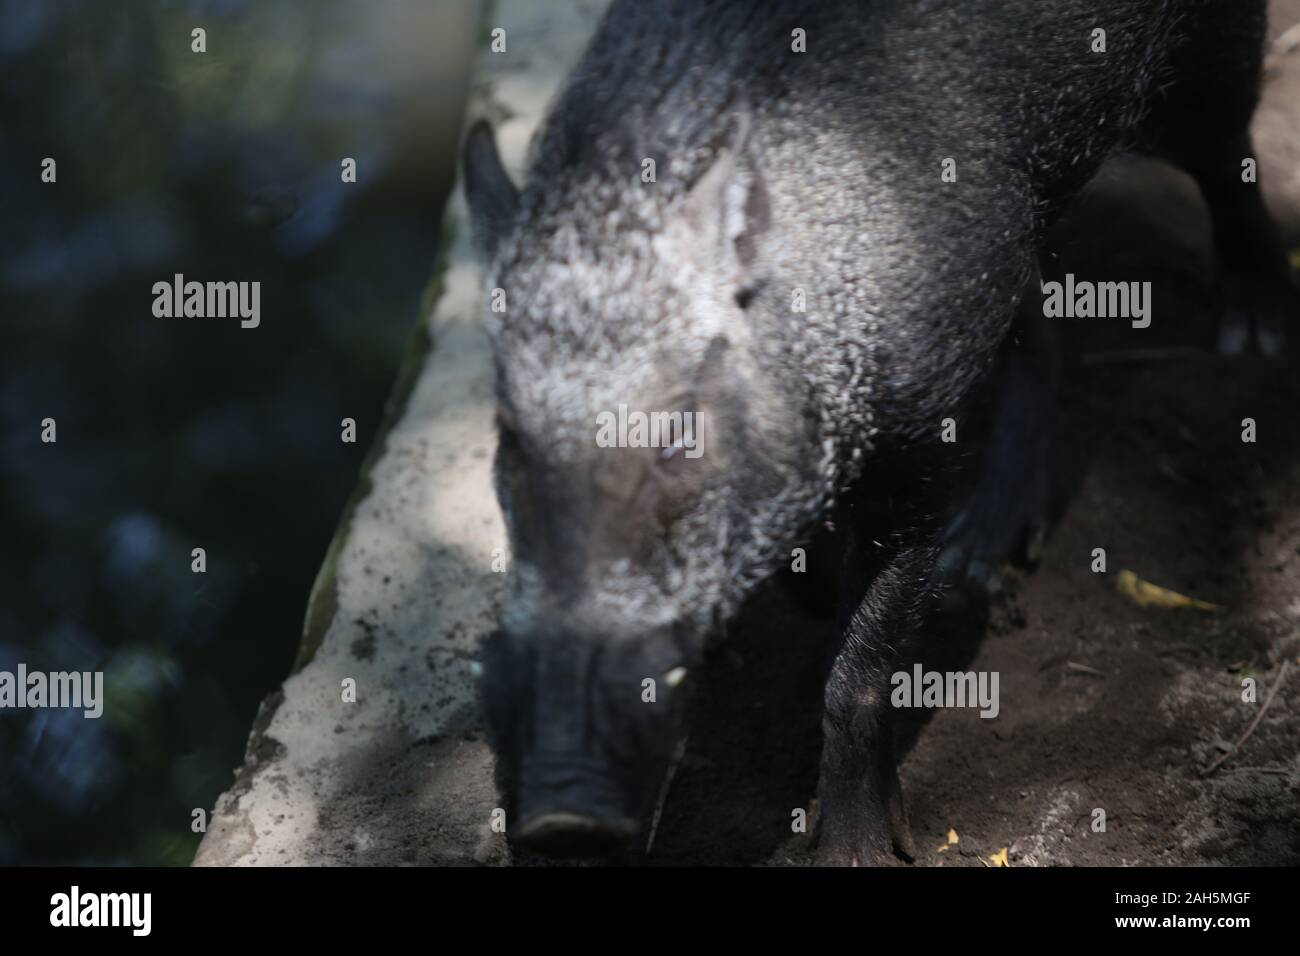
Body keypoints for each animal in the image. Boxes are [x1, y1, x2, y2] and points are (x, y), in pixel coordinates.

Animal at [462, 0, 1296, 863]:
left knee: (1227, 154)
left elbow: (858, 669)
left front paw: (857, 851)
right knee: (1038, 325)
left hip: (1203, 56)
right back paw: (982, 554)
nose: (561, 815)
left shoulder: (920, 440)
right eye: (509, 442)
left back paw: (1255, 336)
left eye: (676, 437)